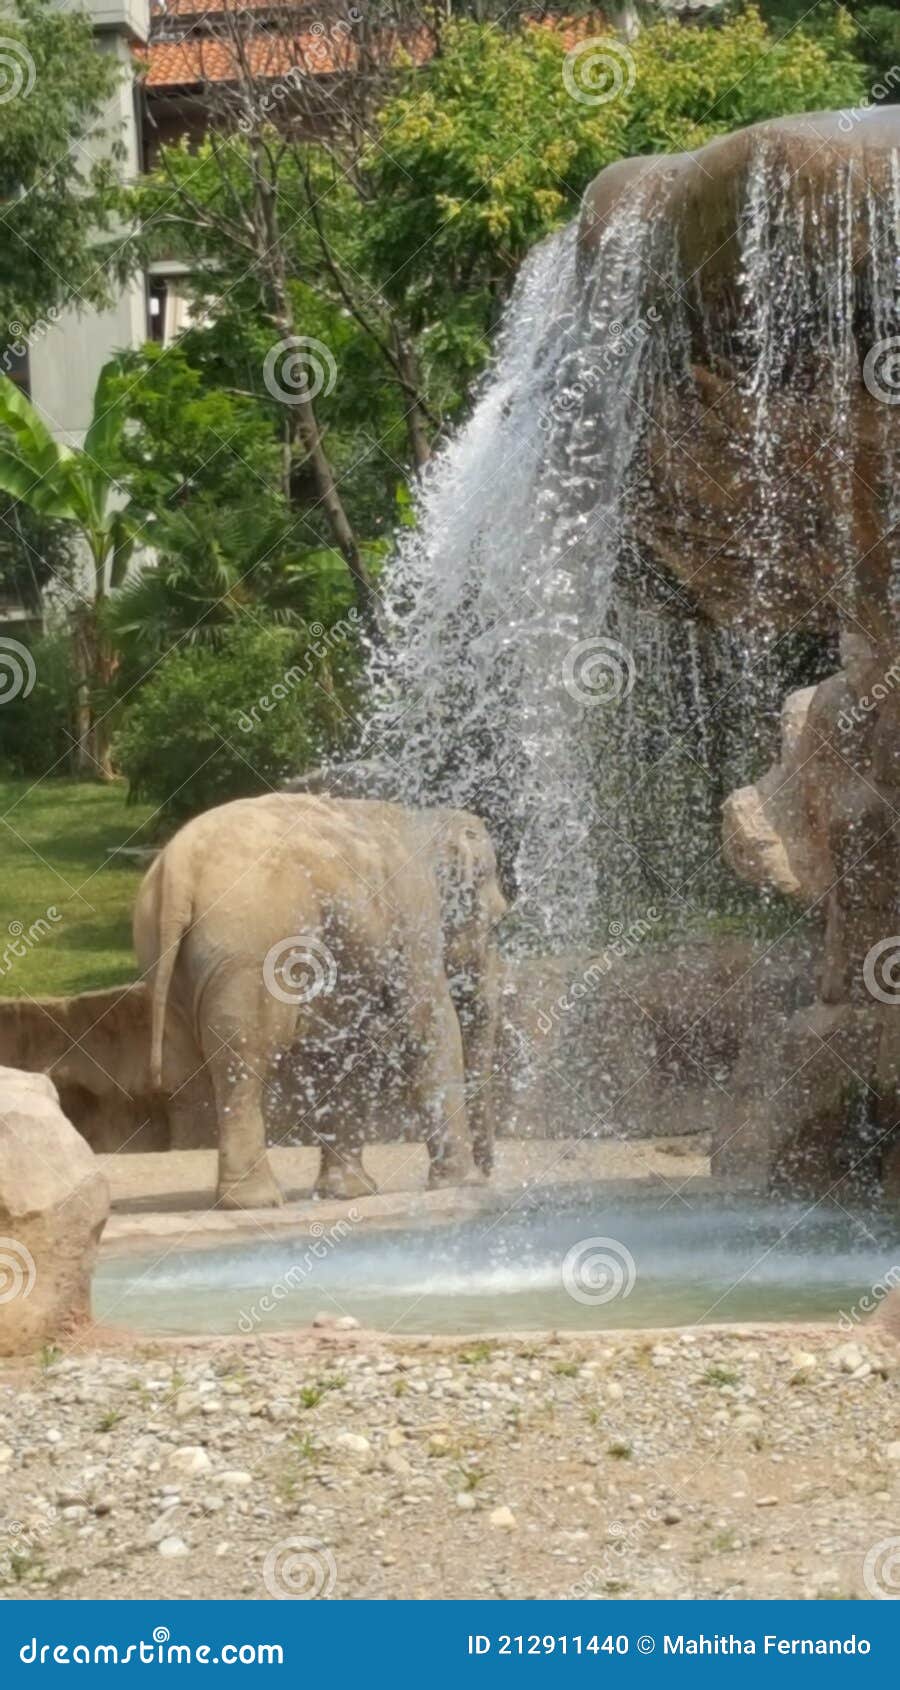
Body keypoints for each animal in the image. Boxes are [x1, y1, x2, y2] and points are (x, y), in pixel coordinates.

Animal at [133, 793, 507, 1210]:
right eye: (499, 923)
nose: (487, 1172)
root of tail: (180, 867)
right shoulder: (414, 917)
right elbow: (429, 1027)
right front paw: (459, 1183)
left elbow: (341, 1044)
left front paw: (349, 1193)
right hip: (249, 953)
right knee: (246, 1060)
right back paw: (257, 1201)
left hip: (169, 959)